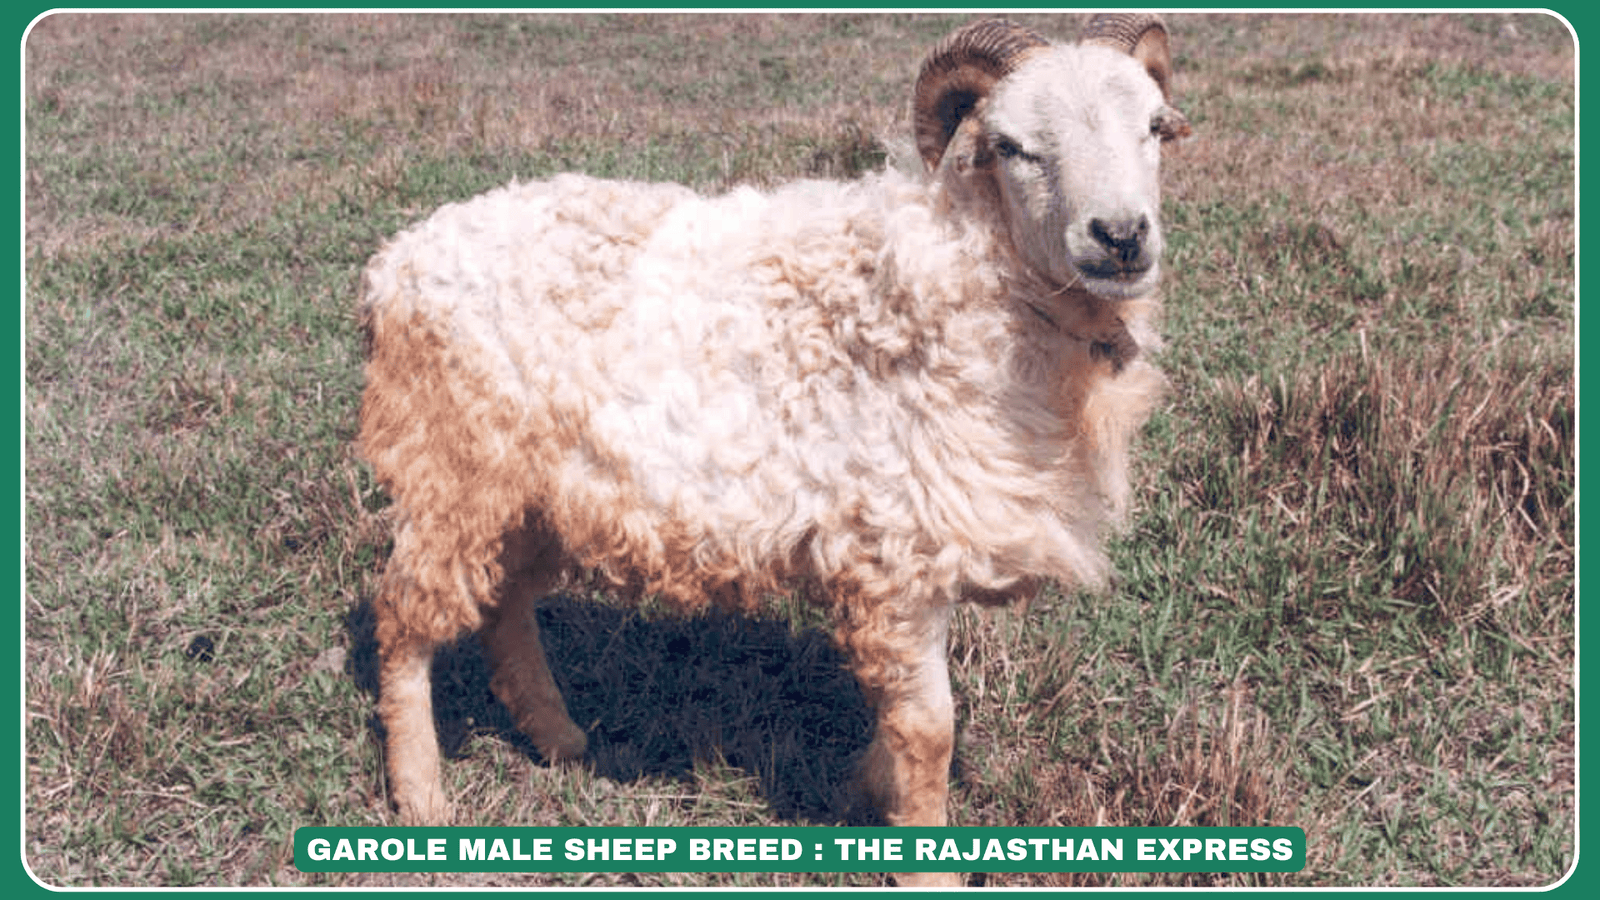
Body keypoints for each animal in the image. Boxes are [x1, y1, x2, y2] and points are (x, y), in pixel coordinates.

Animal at [357, 11, 1188, 865]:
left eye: (1156, 128)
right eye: (1014, 146)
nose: (1121, 235)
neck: (973, 277)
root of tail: (396, 260)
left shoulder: (912, 551)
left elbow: (901, 723)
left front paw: (864, 791)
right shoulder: (895, 549)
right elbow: (929, 731)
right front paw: (924, 855)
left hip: (534, 491)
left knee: (505, 605)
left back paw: (561, 739)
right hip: (450, 467)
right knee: (404, 620)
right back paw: (422, 797)